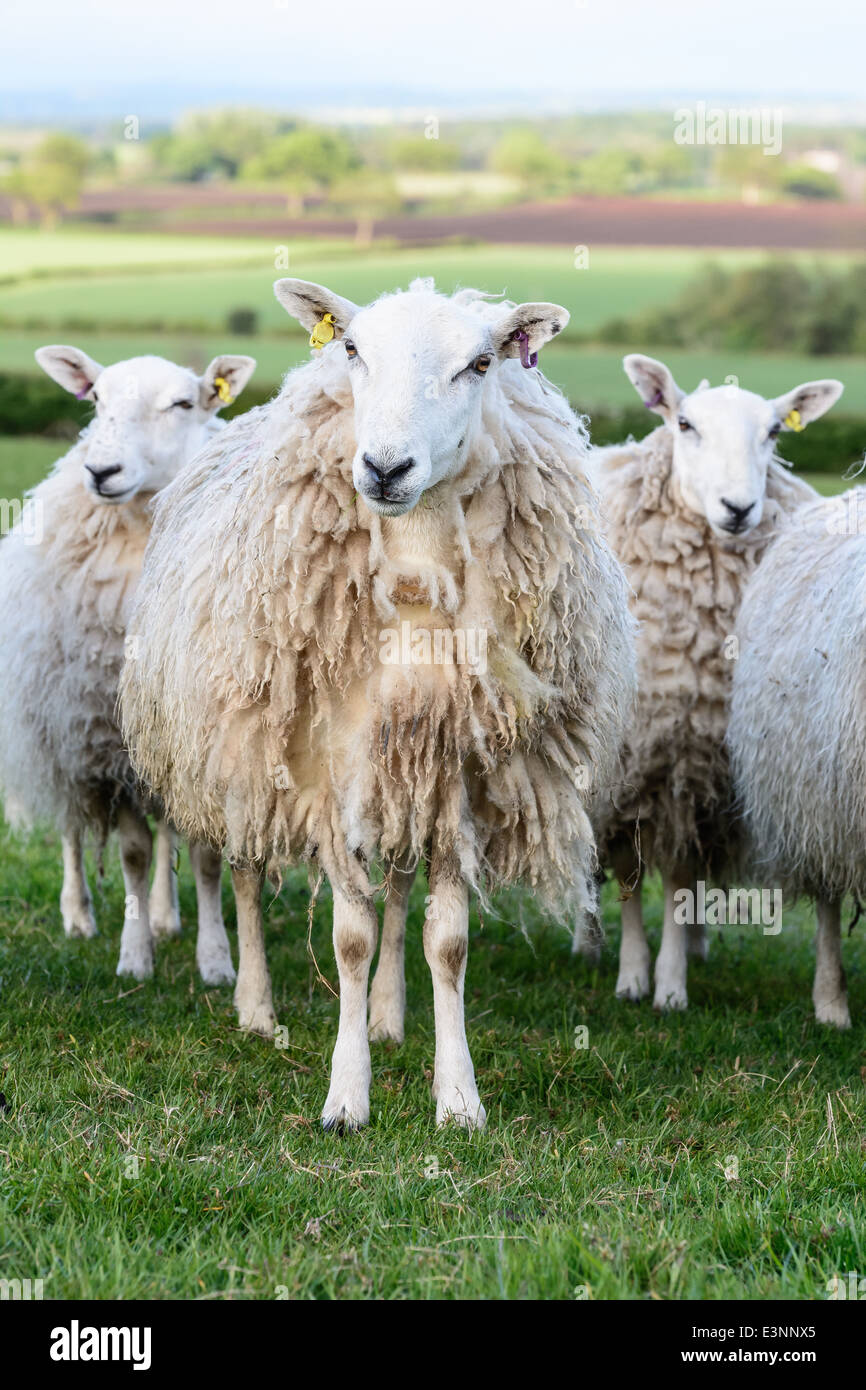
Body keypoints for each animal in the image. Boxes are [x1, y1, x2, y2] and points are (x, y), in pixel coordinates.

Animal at [0, 345, 256, 983]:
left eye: (184, 403)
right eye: (95, 399)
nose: (101, 472)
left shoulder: (195, 742)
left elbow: (202, 857)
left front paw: (215, 959)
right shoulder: (108, 750)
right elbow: (134, 853)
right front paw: (134, 956)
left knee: (169, 832)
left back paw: (166, 915)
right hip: (63, 728)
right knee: (72, 828)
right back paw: (80, 915)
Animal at [119, 277, 636, 1131]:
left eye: (482, 362)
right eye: (354, 349)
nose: (386, 467)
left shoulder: (459, 766)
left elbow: (445, 941)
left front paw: (457, 1097)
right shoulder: (325, 771)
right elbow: (351, 938)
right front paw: (345, 1095)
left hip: (400, 767)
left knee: (397, 886)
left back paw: (391, 1016)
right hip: (248, 752)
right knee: (248, 873)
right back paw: (255, 1006)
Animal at [584, 354, 841, 1011]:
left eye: (775, 431)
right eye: (685, 423)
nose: (738, 507)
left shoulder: (697, 761)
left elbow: (680, 878)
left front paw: (672, 982)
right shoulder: (631, 764)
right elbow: (630, 876)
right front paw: (633, 975)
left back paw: (694, 945)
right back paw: (588, 942)